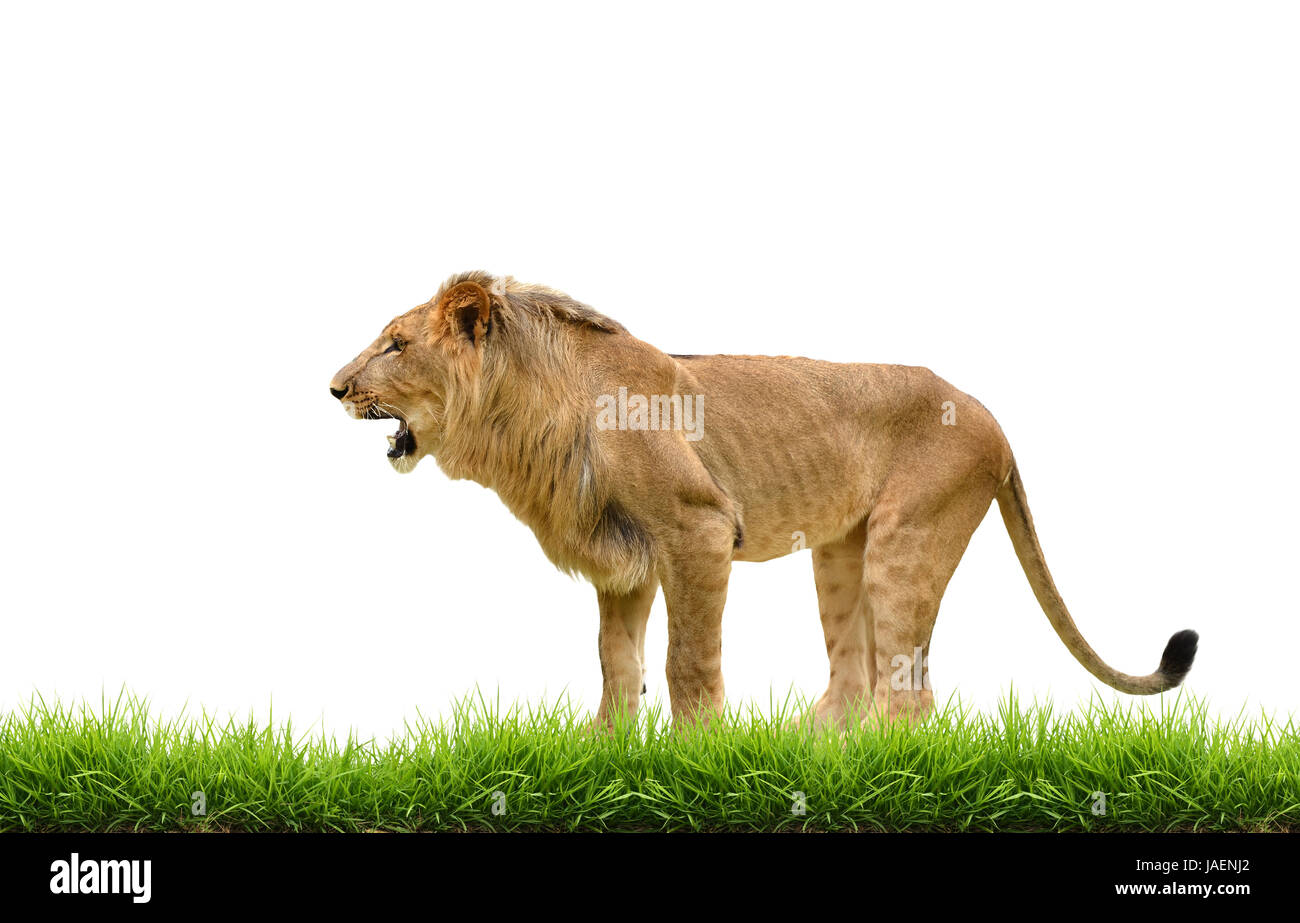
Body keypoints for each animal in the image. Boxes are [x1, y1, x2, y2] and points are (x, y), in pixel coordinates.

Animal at [329, 271, 1198, 728]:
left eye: (395, 345)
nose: (334, 387)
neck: (526, 418)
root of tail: (994, 419)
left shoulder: (701, 529)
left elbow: (686, 661)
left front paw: (700, 757)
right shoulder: (623, 561)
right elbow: (616, 662)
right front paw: (603, 751)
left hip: (907, 538)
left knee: (910, 688)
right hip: (842, 556)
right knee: (857, 679)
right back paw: (820, 754)